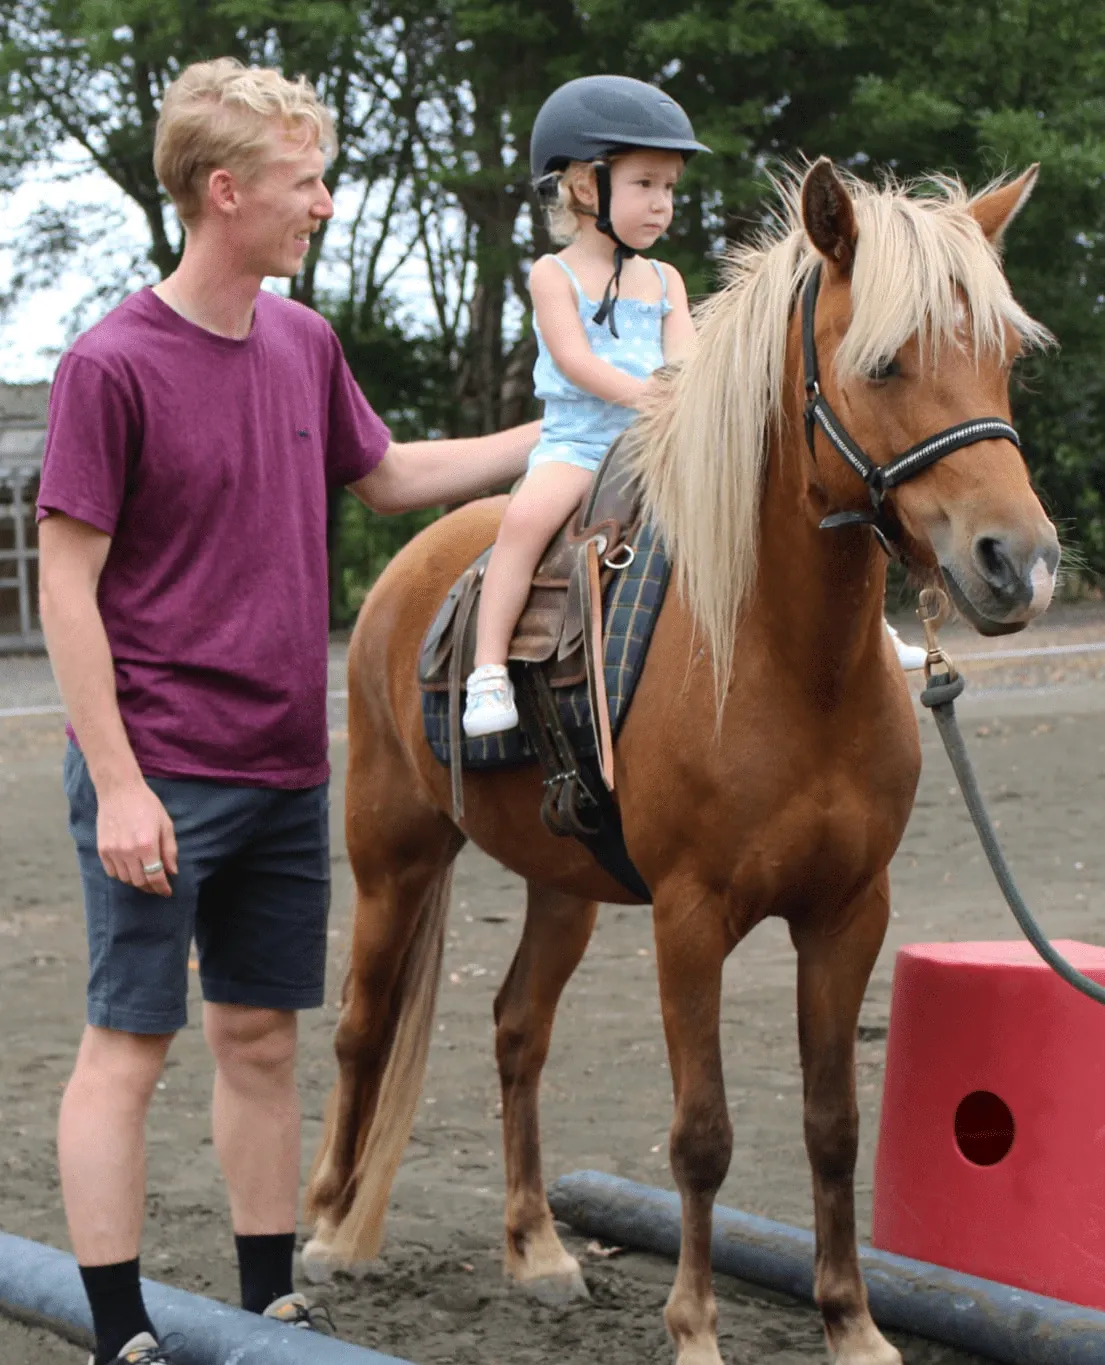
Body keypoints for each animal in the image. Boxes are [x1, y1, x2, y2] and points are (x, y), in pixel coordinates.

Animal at [303, 158, 1060, 1365]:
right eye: (882, 361)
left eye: (1002, 357)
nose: (1018, 565)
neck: (784, 661)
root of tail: (417, 566)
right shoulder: (690, 920)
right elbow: (701, 1134)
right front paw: (695, 1331)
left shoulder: (849, 913)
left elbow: (833, 1123)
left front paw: (852, 1325)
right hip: (394, 859)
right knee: (360, 1028)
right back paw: (326, 1233)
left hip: (562, 887)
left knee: (516, 1030)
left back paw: (538, 1251)